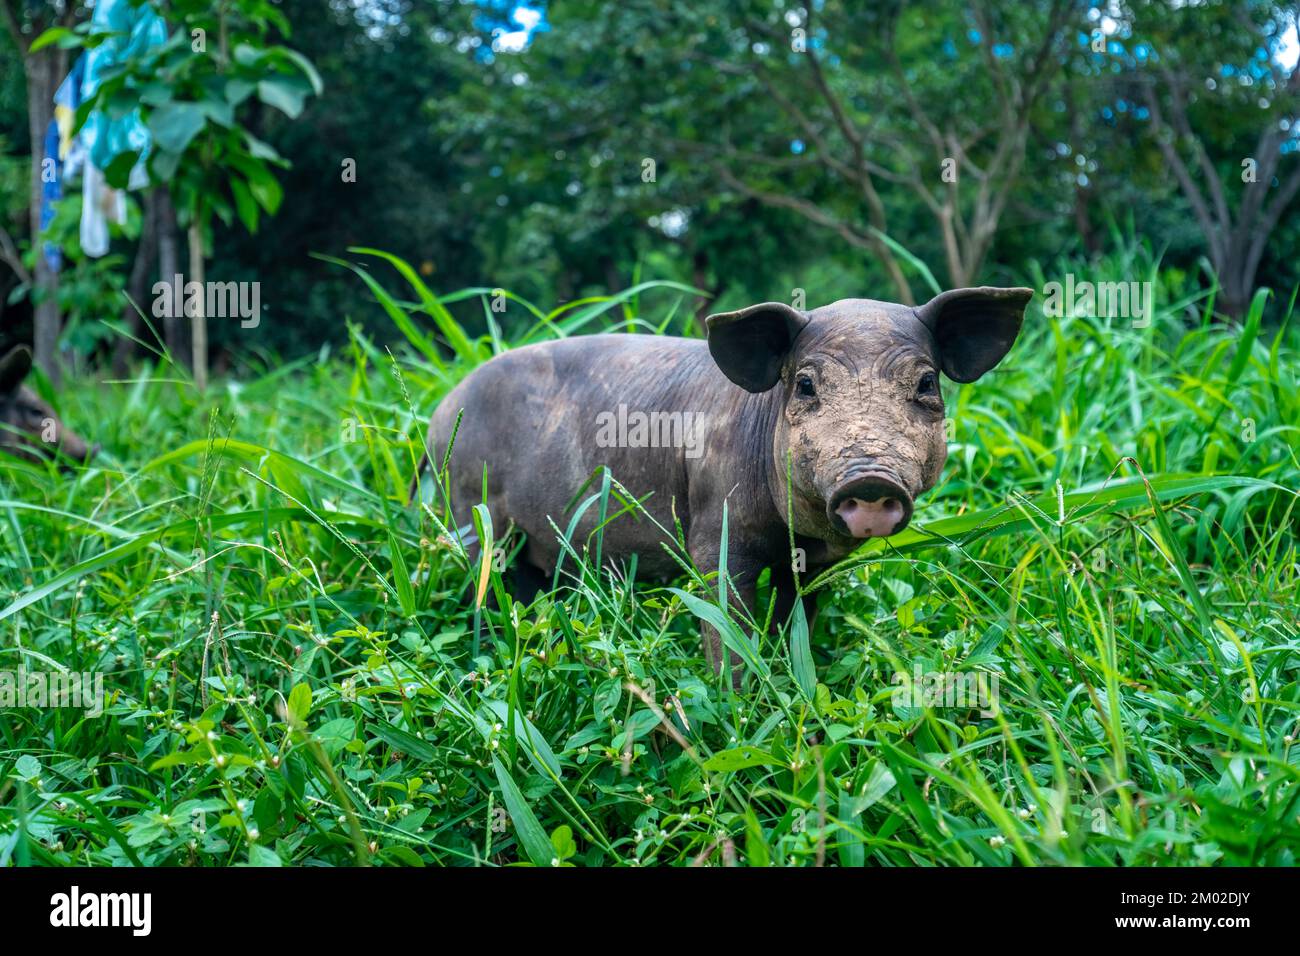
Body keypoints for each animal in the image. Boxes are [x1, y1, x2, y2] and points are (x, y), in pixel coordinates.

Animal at [416, 287, 1031, 675]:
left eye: (926, 383)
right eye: (805, 385)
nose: (871, 481)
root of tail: (439, 411)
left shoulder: (813, 563)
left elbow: (796, 614)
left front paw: (793, 672)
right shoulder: (716, 524)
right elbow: (724, 612)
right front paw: (733, 697)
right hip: (468, 506)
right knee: (488, 574)